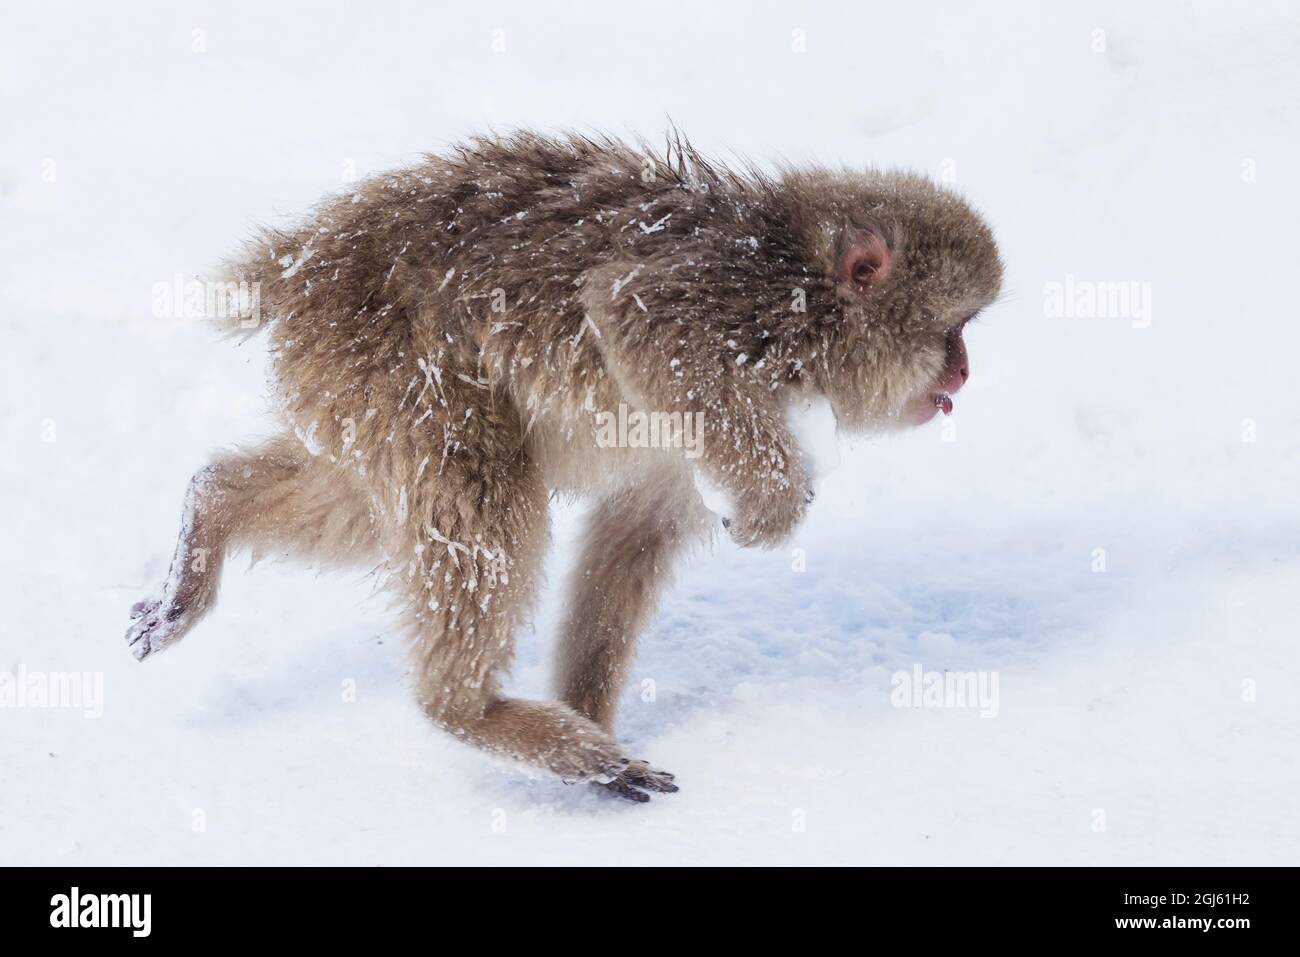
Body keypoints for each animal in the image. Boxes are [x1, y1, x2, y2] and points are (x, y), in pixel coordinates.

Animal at [125, 131, 1002, 802]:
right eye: (955, 329)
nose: (965, 374)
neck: (805, 289)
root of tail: (301, 264)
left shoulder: (688, 446)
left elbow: (634, 533)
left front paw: (587, 702)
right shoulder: (731, 301)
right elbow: (632, 310)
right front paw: (772, 510)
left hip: (345, 384)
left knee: (364, 502)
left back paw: (210, 513)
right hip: (392, 364)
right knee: (481, 499)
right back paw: (466, 708)